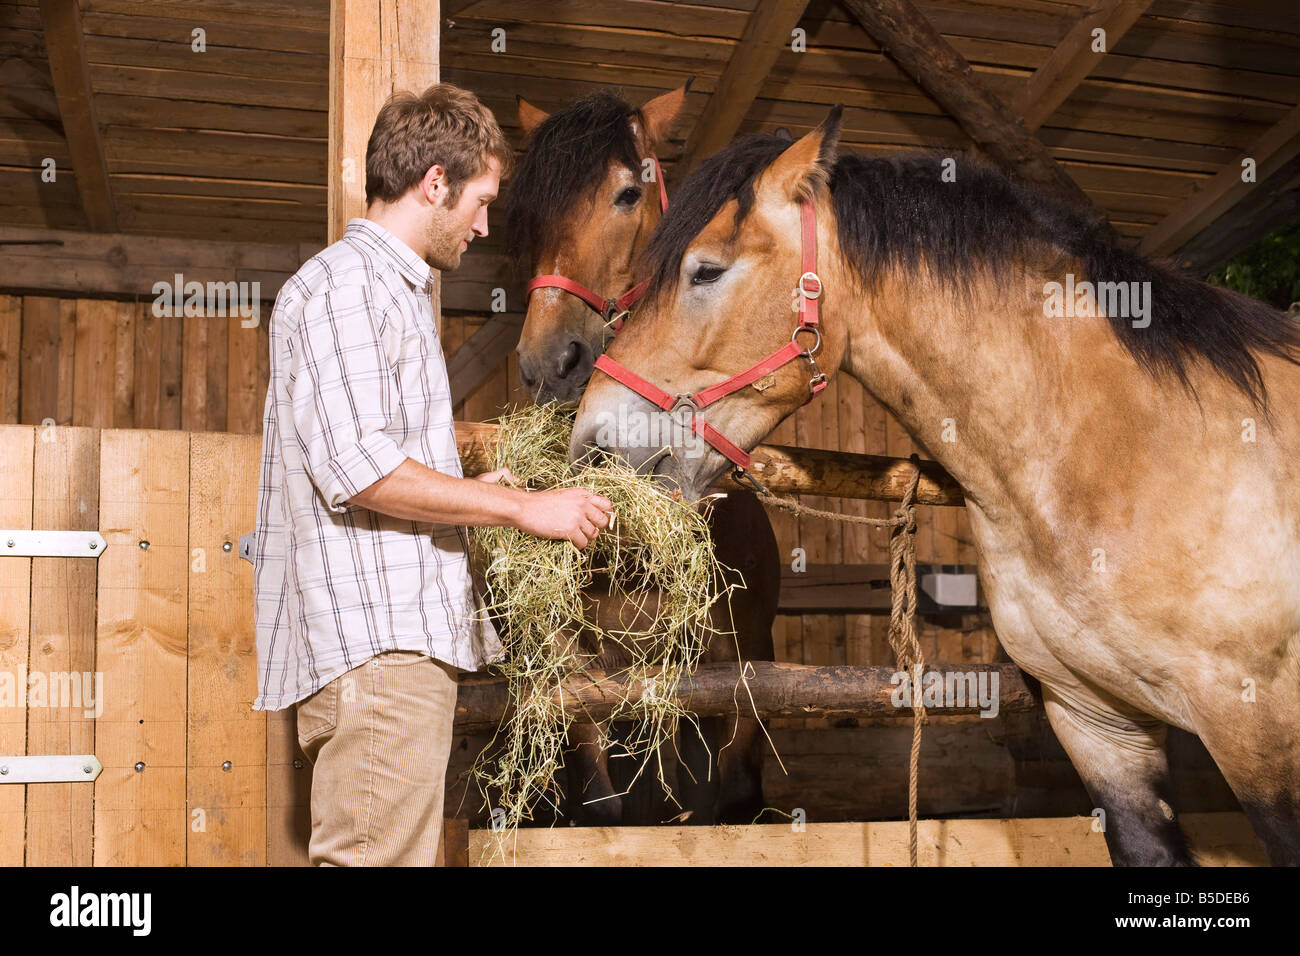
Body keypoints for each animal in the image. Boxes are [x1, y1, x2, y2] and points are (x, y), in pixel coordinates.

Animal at [504, 86, 780, 826]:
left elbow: (731, 794)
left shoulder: (740, 674)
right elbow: (604, 802)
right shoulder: (581, 675)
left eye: (628, 194)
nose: (550, 363)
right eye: (525, 214)